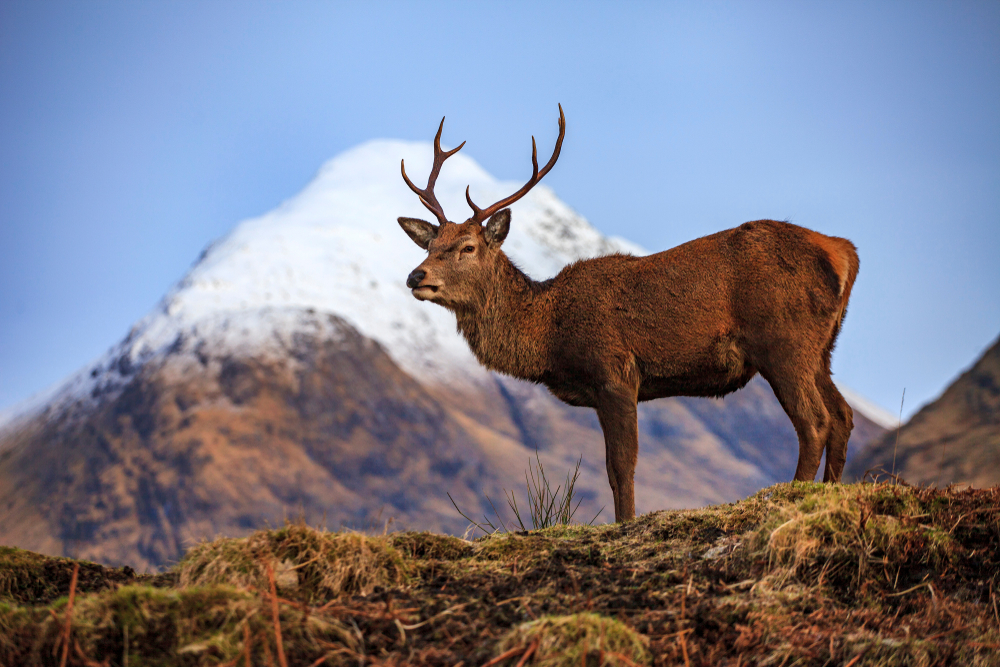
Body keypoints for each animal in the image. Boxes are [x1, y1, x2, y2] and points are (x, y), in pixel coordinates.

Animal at [397, 105, 859, 522]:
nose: (416, 275)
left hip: (784, 342)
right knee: (842, 414)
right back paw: (830, 494)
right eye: (430, 245)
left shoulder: (615, 372)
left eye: (468, 247)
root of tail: (844, 253)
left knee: (815, 421)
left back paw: (795, 495)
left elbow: (621, 467)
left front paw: (625, 523)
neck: (550, 336)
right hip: (822, 349)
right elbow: (611, 469)